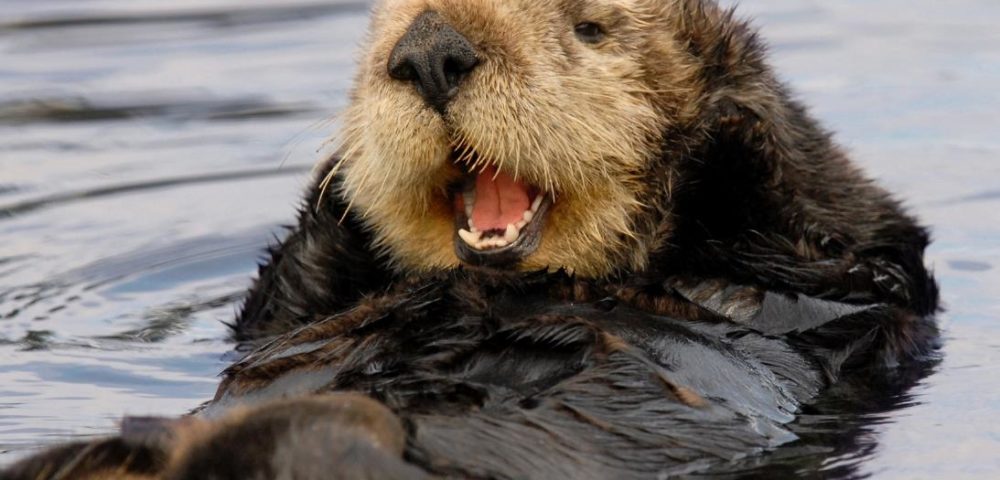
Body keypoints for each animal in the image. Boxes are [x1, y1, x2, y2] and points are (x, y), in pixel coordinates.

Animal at [5, 0, 938, 478]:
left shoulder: (848, 278)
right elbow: (274, 306)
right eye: (388, 32)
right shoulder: (277, 318)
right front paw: (343, 180)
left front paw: (721, 123)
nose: (428, 53)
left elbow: (829, 263)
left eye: (589, 28)